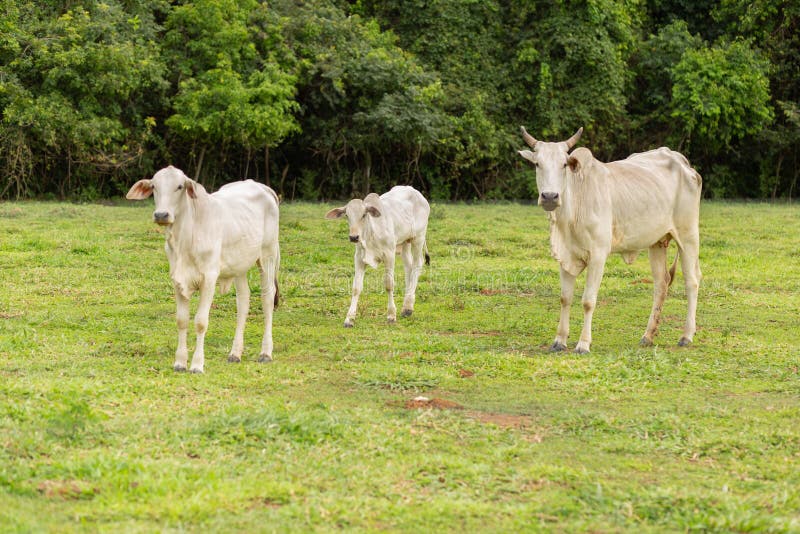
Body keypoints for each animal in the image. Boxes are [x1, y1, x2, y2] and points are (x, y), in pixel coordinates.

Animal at [126, 166, 280, 373]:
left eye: (180, 186)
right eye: (154, 187)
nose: (161, 215)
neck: (184, 238)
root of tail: (261, 187)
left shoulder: (209, 279)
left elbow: (200, 322)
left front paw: (197, 365)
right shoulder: (177, 279)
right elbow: (181, 320)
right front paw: (180, 363)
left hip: (267, 255)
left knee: (267, 297)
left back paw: (265, 352)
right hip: (239, 264)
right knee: (243, 301)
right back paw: (235, 353)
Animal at [325, 186, 430, 327]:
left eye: (364, 214)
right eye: (347, 215)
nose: (353, 237)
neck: (371, 234)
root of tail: (416, 192)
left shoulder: (389, 255)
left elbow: (389, 285)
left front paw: (391, 315)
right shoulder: (359, 258)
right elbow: (356, 288)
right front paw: (349, 319)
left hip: (418, 238)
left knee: (417, 264)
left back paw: (408, 306)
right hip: (404, 242)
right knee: (409, 267)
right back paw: (407, 305)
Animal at [518, 127, 702, 353]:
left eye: (564, 164)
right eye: (537, 164)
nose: (550, 196)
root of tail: (684, 163)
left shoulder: (598, 255)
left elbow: (588, 301)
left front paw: (583, 343)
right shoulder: (566, 256)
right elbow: (565, 298)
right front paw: (559, 340)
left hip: (688, 235)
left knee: (692, 281)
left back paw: (686, 335)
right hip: (657, 242)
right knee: (661, 283)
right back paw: (647, 336)